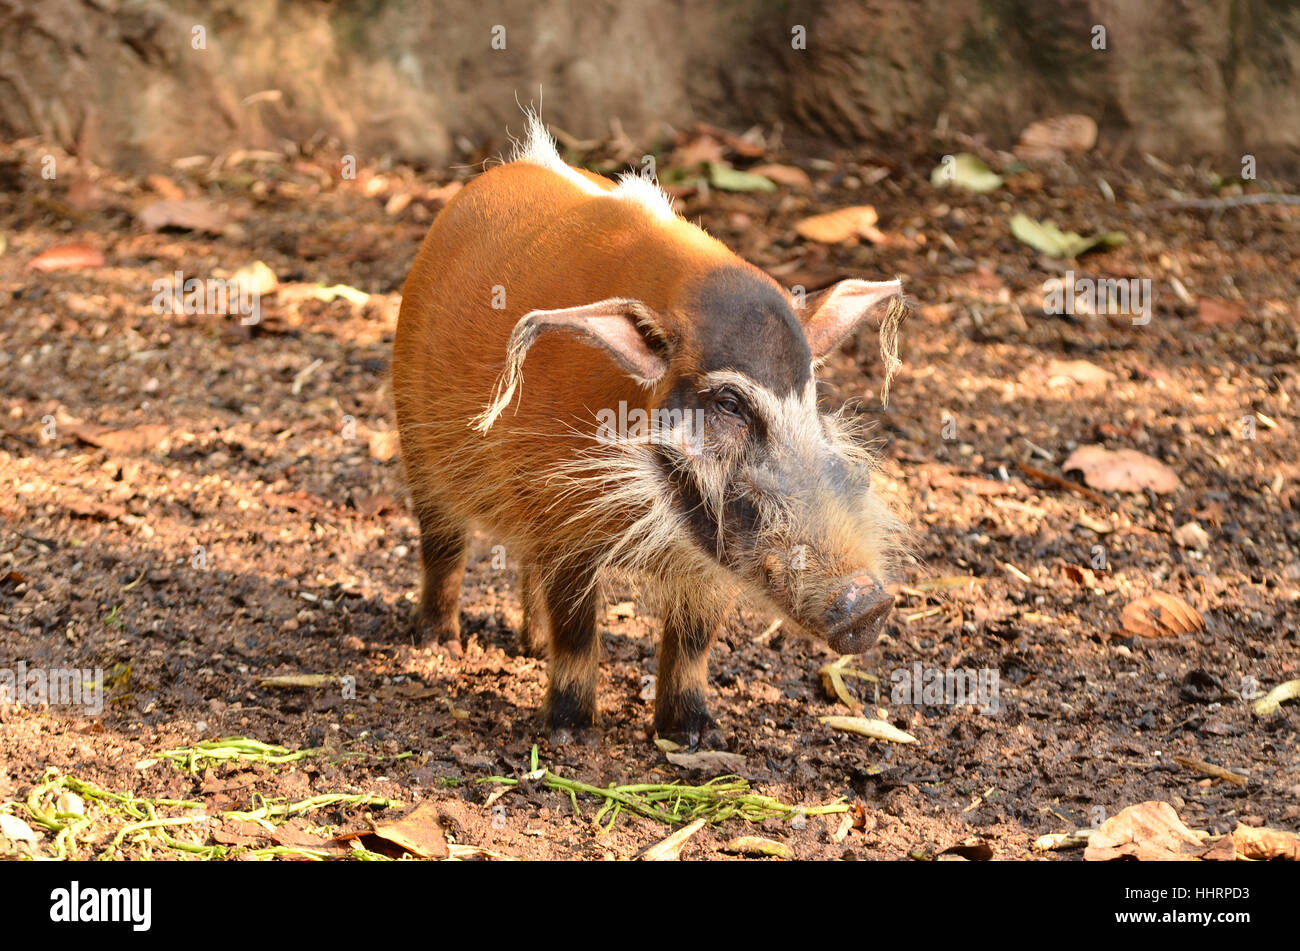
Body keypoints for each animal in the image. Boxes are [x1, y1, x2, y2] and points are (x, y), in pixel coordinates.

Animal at [393, 115, 908, 748]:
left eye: (811, 398)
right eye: (729, 403)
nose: (870, 605)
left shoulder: (709, 548)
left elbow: (692, 640)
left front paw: (695, 736)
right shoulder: (566, 524)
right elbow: (577, 631)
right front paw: (569, 733)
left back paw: (529, 647)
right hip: (417, 446)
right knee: (444, 547)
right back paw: (436, 643)